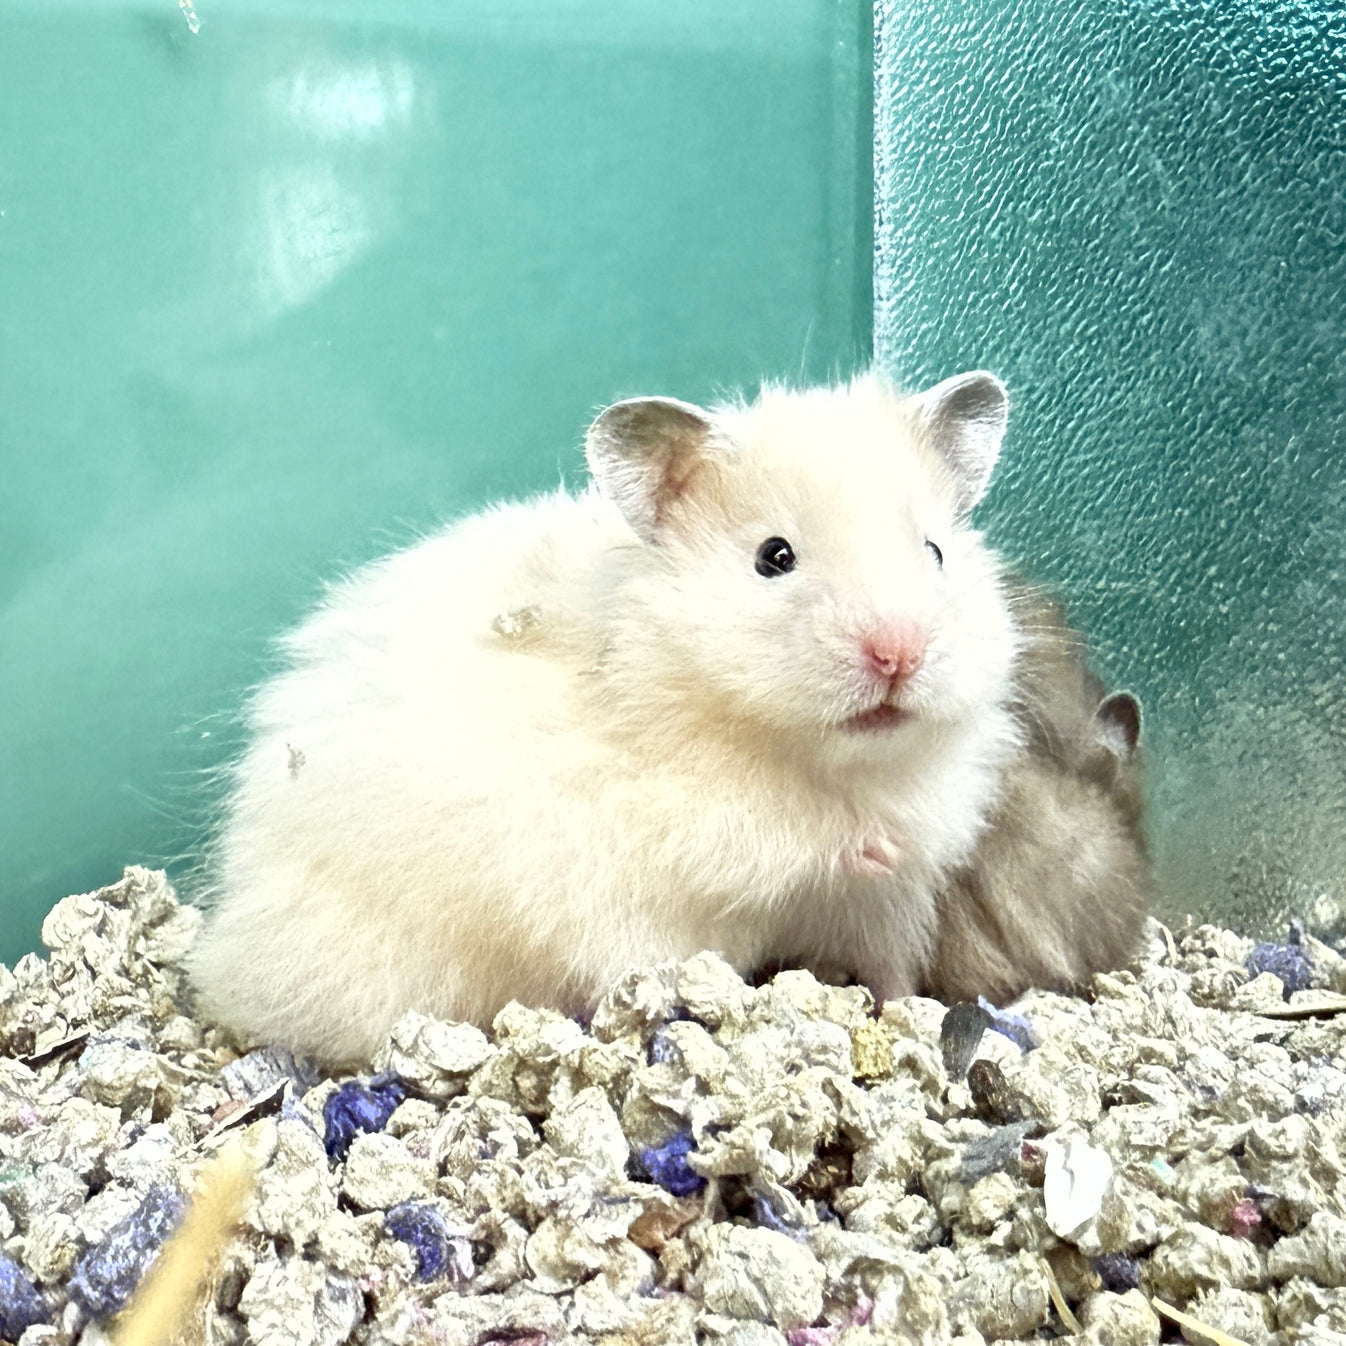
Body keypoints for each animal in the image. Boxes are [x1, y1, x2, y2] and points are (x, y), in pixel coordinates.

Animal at [188, 371, 1025, 1065]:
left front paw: (907, 1000)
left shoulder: (890, 904)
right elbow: (789, 833)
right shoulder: (689, 822)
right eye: (773, 557)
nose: (898, 653)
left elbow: (890, 955)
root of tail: (224, 942)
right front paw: (868, 842)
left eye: (935, 552)